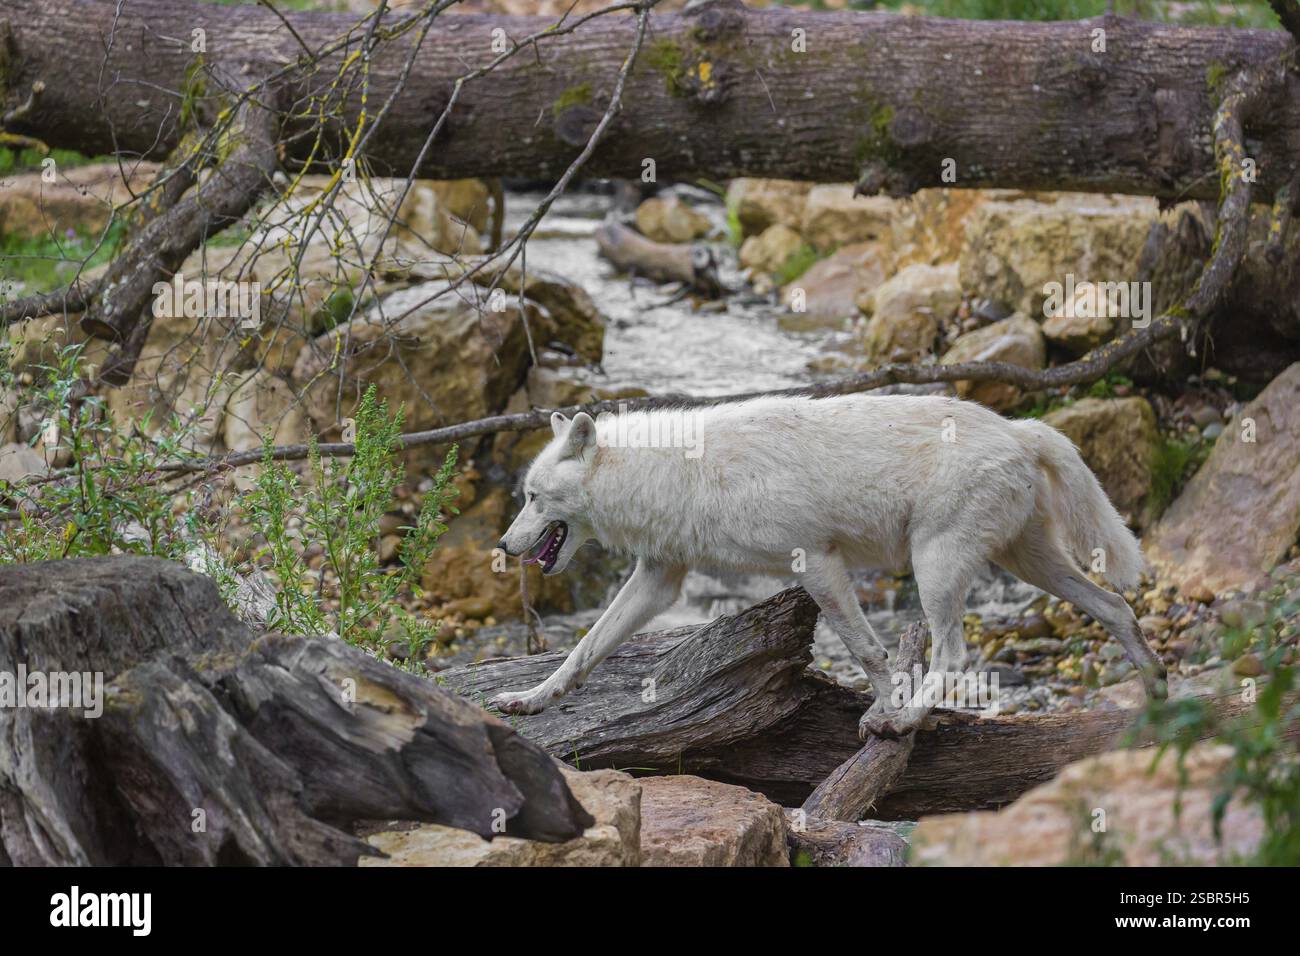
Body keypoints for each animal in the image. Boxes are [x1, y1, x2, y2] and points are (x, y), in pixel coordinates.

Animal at [494, 394, 1167, 736]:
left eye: (531, 497)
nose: (503, 545)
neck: (672, 474)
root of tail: (1022, 430)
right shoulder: (658, 581)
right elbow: (583, 650)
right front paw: (530, 700)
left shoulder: (816, 562)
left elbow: (869, 651)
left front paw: (887, 711)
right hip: (1028, 562)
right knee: (1115, 606)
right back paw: (1158, 690)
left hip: (935, 565)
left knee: (953, 653)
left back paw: (909, 721)